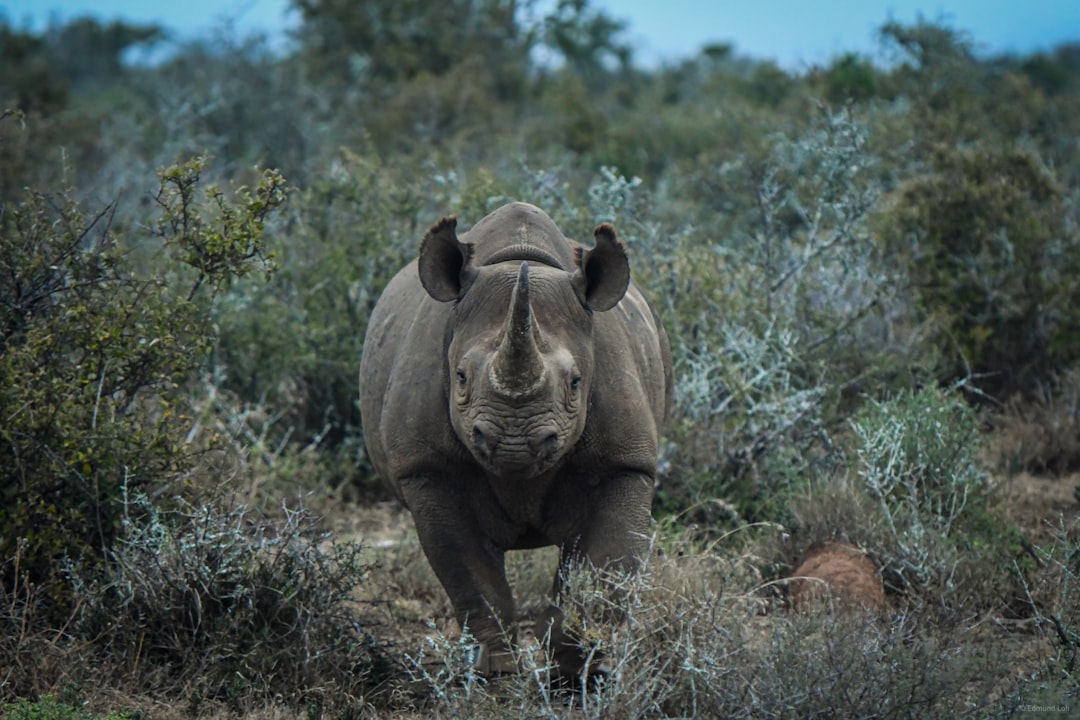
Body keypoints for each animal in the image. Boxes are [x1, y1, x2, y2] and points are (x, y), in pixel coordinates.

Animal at [359, 202, 672, 676]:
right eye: (461, 377)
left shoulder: (625, 462)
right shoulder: (427, 468)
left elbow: (602, 568)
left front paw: (576, 673)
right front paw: (497, 673)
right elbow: (471, 578)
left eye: (576, 382)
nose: (513, 442)